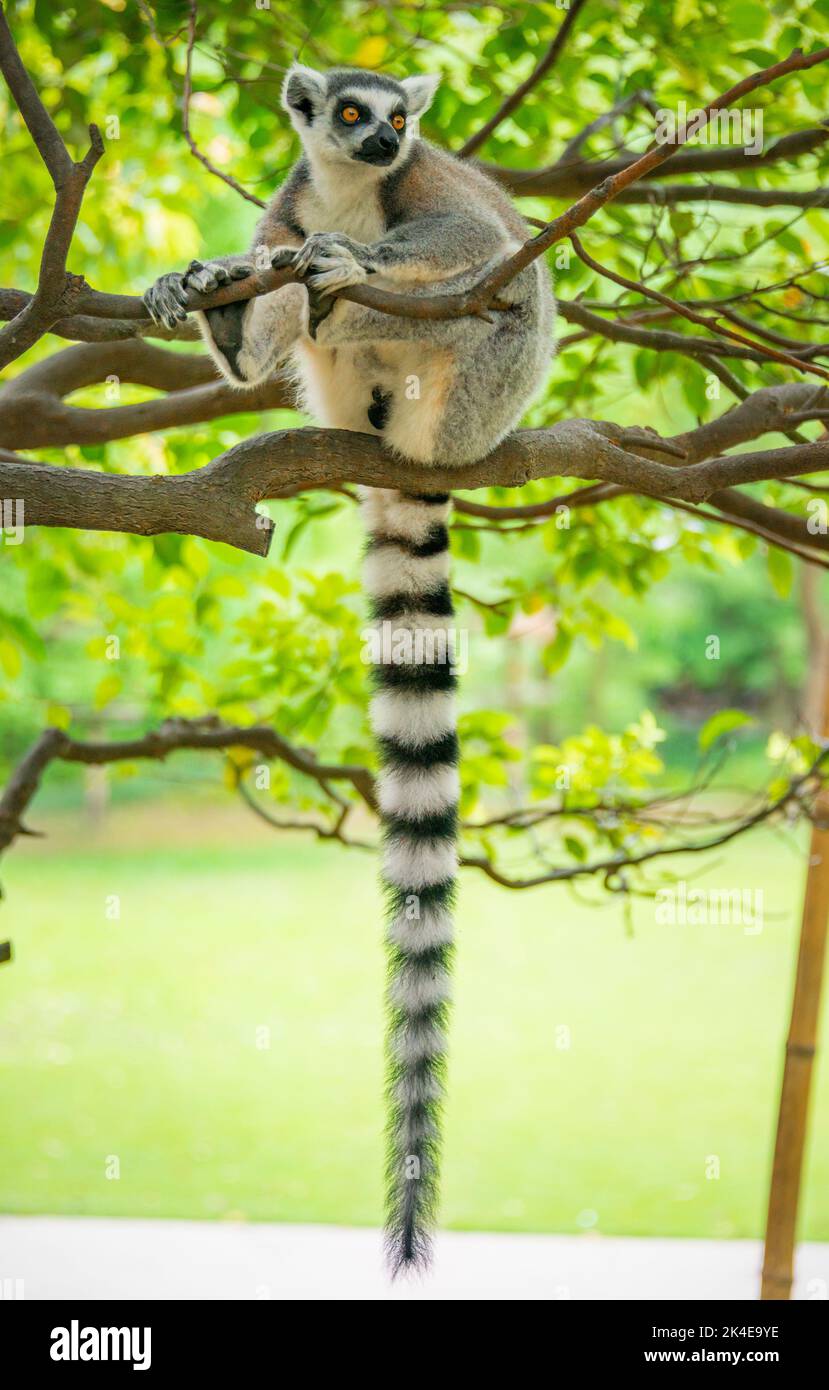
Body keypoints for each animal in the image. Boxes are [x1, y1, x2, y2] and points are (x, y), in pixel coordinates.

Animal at [144, 64, 554, 1277]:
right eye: (349, 114)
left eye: (401, 120)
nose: (382, 143)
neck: (346, 193)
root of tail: (397, 437)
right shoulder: (283, 210)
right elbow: (273, 253)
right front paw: (209, 289)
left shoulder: (435, 193)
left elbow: (475, 238)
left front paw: (353, 257)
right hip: (332, 390)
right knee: (296, 317)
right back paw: (246, 322)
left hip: (477, 392)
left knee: (494, 291)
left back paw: (351, 281)